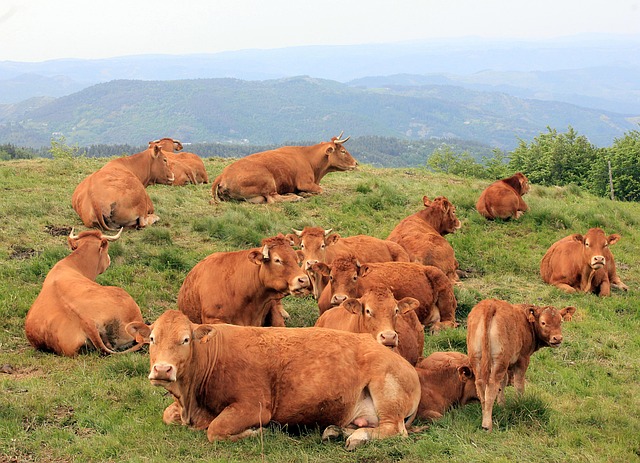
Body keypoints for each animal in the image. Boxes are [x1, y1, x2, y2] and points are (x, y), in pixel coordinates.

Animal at [126, 310, 421, 450]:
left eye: (186, 339)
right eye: (152, 338)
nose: (162, 370)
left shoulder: (253, 406)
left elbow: (215, 430)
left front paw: (257, 432)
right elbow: (168, 415)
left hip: (385, 390)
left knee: (394, 430)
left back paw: (358, 438)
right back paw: (335, 431)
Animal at [211, 133, 357, 203]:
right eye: (343, 151)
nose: (356, 163)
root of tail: (223, 174)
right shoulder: (305, 182)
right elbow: (321, 190)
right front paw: (304, 194)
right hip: (267, 180)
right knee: (273, 199)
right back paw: (295, 197)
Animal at [466, 298, 576, 431]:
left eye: (561, 321)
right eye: (543, 322)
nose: (557, 338)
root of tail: (490, 304)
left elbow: (502, 383)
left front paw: (502, 405)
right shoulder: (522, 359)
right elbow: (519, 384)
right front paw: (519, 403)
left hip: (476, 357)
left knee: (481, 383)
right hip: (499, 360)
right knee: (492, 385)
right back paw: (487, 425)